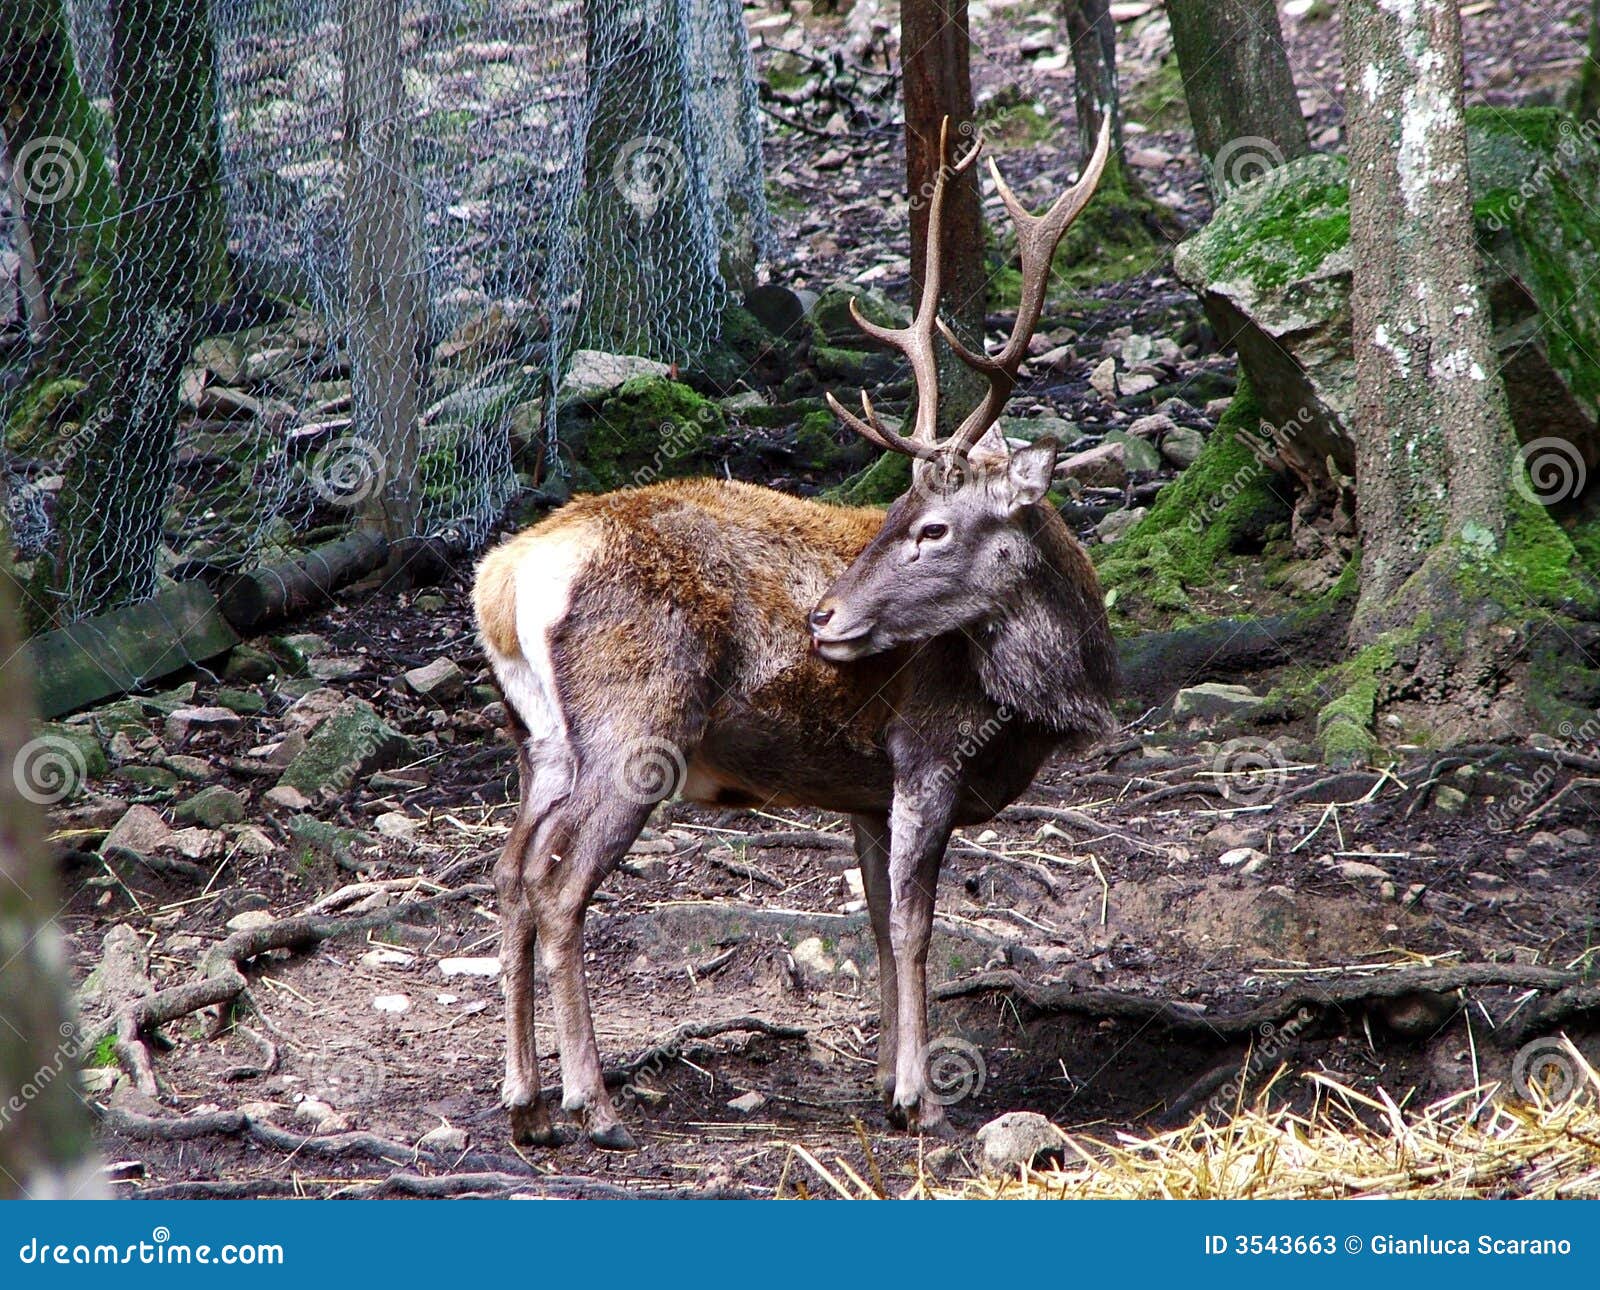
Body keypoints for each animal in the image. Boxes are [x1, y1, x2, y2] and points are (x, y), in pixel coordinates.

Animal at [472, 119, 1117, 1150]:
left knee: (506, 872)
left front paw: (884, 1083)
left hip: (536, 738)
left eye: (930, 527)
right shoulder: (925, 750)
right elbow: (916, 926)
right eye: (901, 516)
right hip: (633, 724)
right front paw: (923, 1099)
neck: (1038, 702)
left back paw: (524, 1101)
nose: (826, 619)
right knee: (557, 886)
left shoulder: (864, 787)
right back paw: (592, 1104)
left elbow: (876, 926)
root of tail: (506, 578)